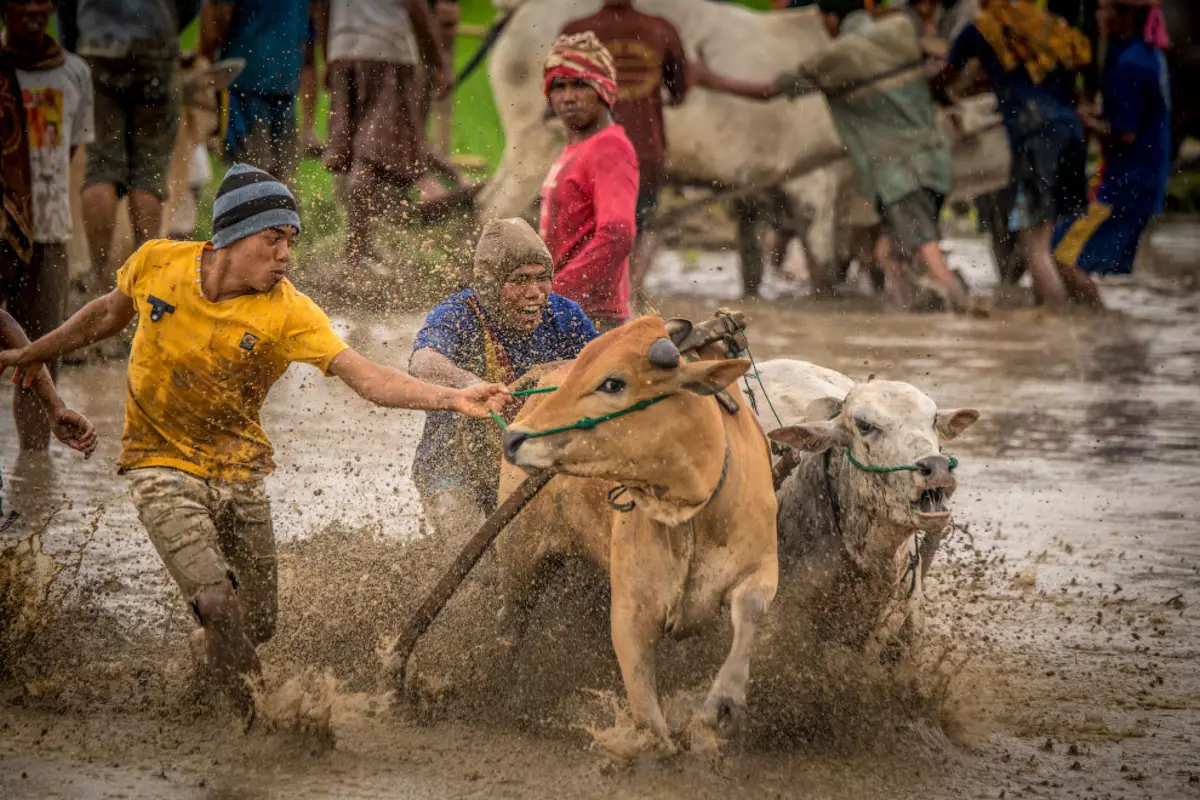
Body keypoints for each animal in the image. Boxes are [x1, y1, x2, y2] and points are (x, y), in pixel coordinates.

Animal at [499, 316, 772, 743]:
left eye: (613, 383)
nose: (513, 436)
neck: (691, 511)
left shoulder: (763, 563)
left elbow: (752, 606)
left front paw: (724, 701)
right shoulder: (630, 616)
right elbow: (649, 721)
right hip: (519, 562)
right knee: (509, 627)